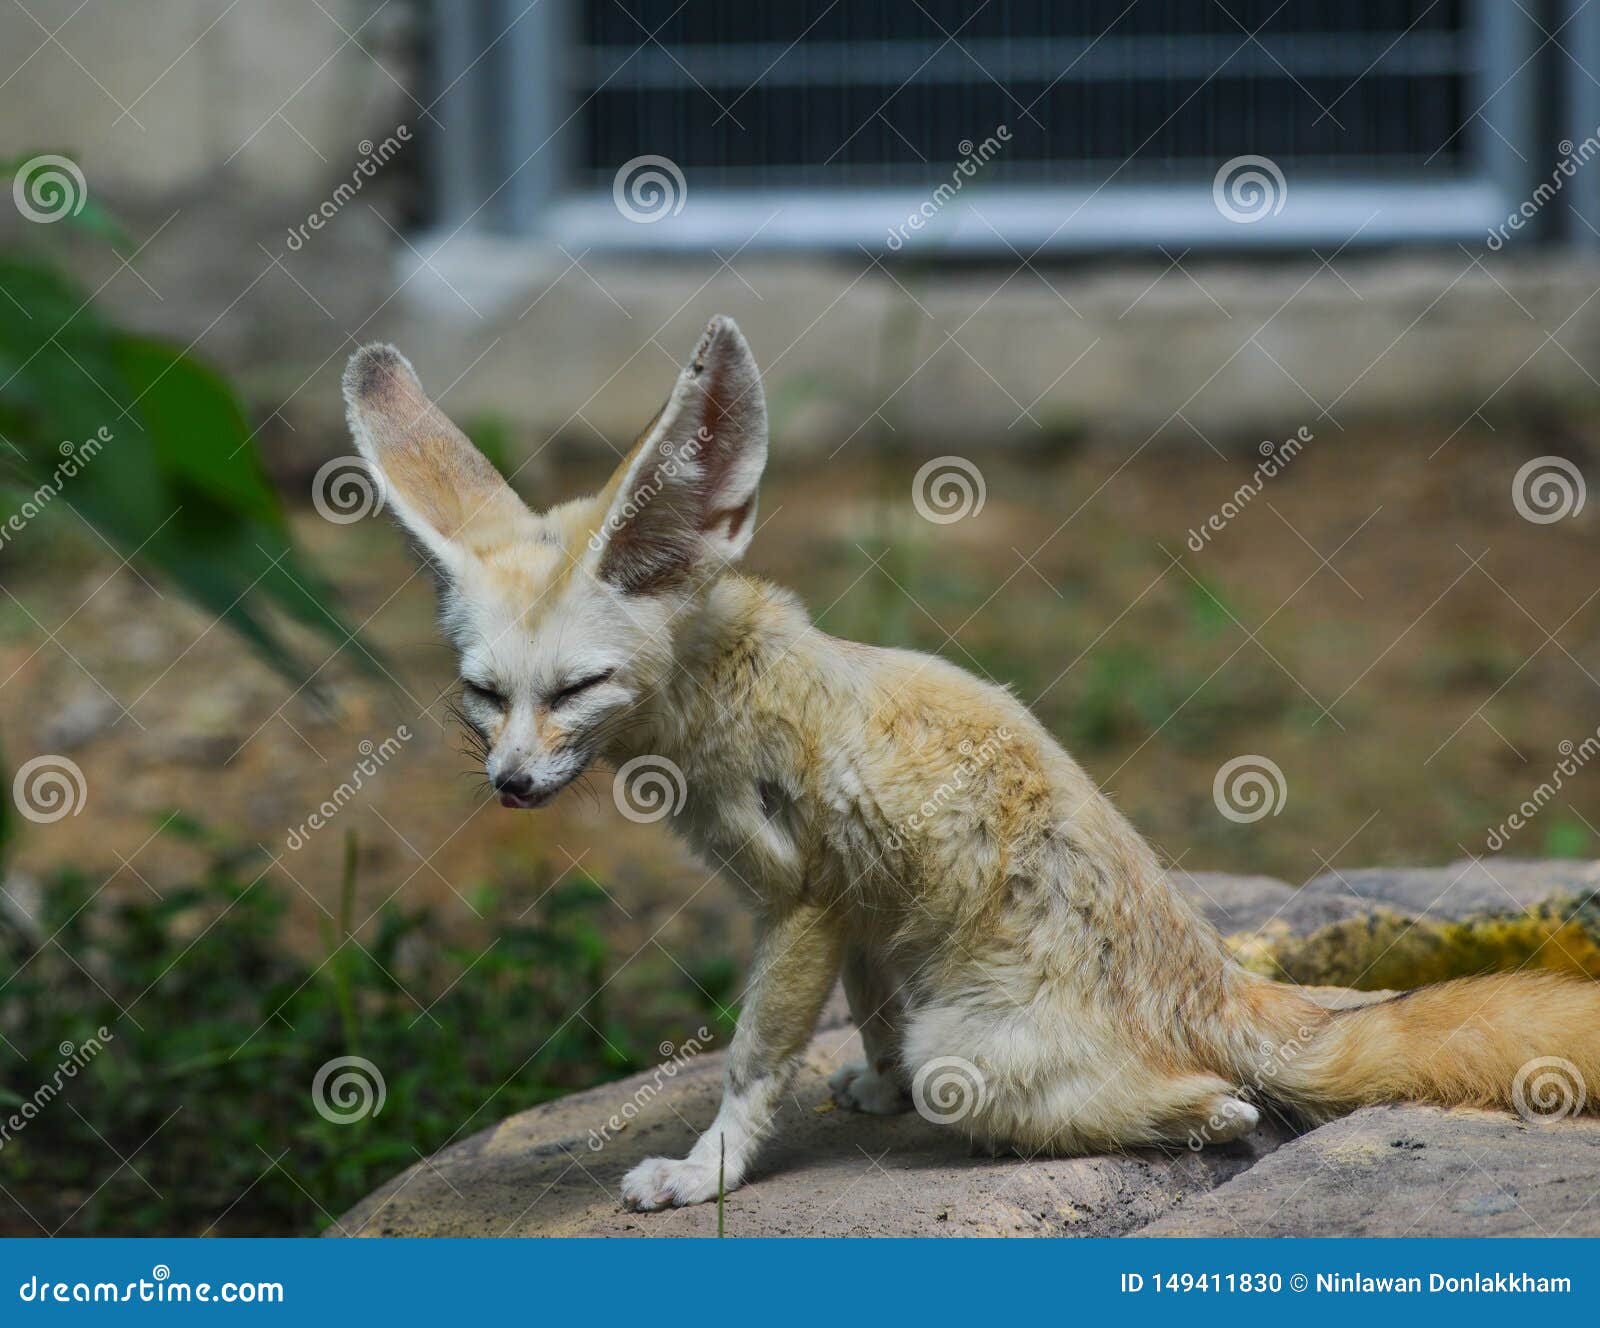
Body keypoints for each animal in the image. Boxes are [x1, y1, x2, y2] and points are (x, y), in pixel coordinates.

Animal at [342, 316, 1600, 1212]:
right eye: (484, 694)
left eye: (576, 688)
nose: (509, 784)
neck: (725, 685)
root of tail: (1222, 982)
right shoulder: (858, 903)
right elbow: (870, 1010)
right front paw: (869, 1083)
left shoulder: (797, 900)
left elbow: (751, 1060)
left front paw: (706, 1171)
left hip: (972, 1053)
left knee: (1228, 1105)